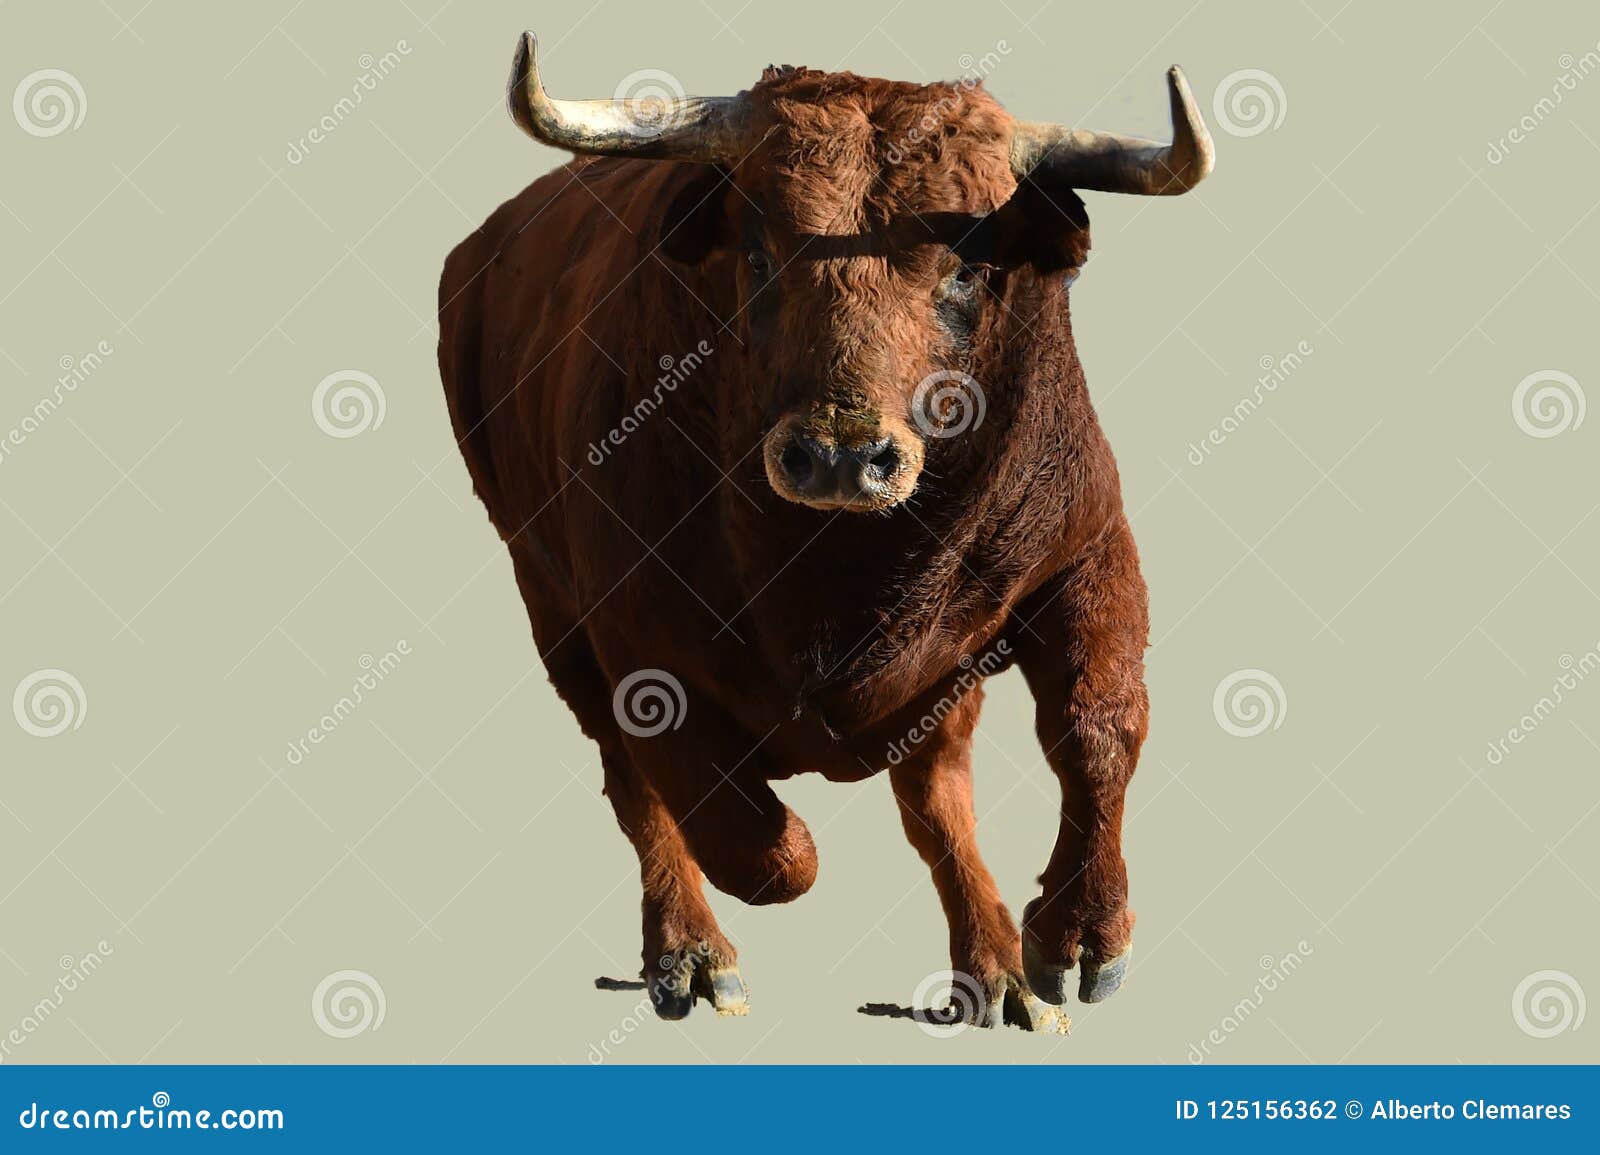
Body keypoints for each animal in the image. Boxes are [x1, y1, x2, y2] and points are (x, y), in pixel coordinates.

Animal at [437, 31, 1213, 1030]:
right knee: (634, 783)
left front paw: (1077, 937)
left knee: (937, 790)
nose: (841, 457)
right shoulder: (632, 638)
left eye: (967, 264)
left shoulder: (1086, 549)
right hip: (546, 599)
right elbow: (750, 836)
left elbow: (1097, 726)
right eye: (757, 252)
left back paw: (995, 965)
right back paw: (692, 953)